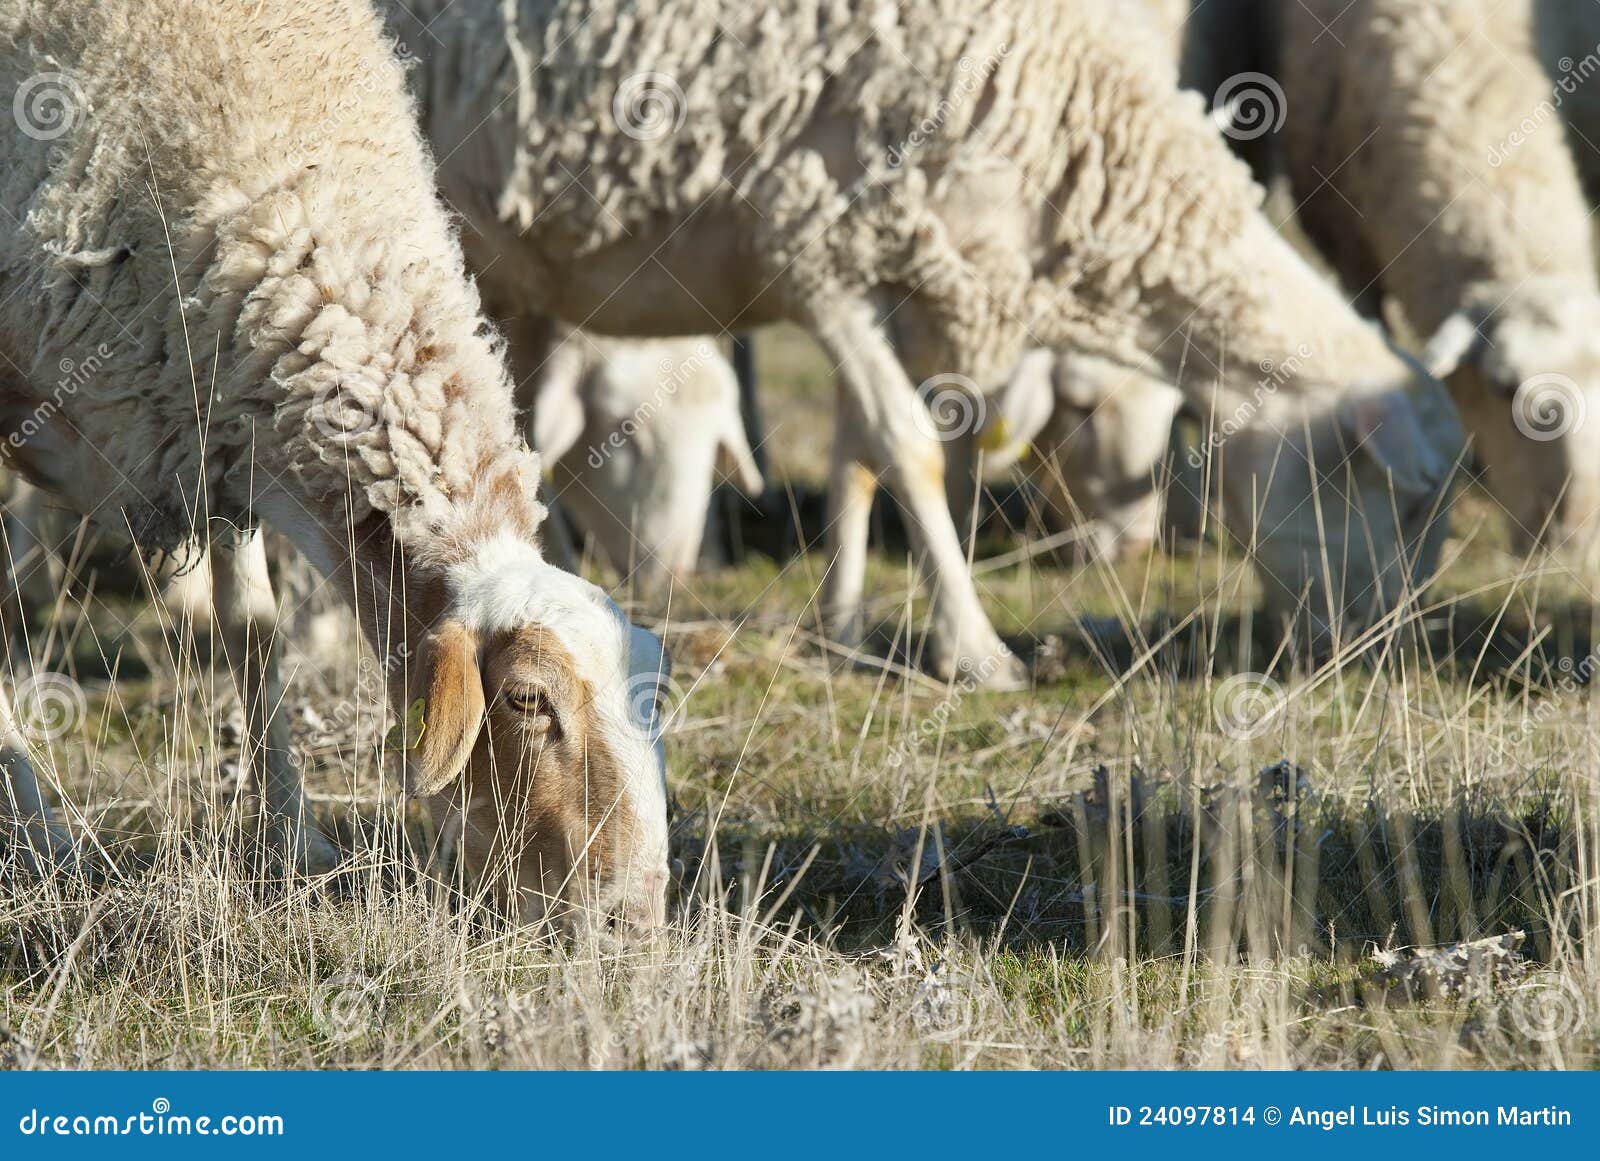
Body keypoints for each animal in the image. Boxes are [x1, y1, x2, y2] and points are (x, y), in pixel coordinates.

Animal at [0, 0, 670, 931]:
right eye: (527, 699)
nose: (636, 916)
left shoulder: (211, 416)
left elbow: (253, 629)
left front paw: (296, 840)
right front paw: (40, 842)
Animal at [385, 0, 1463, 673]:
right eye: (1406, 504)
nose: (1377, 651)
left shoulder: (886, 273)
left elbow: (858, 456)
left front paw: (844, 623)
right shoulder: (815, 251)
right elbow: (908, 450)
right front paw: (975, 652)